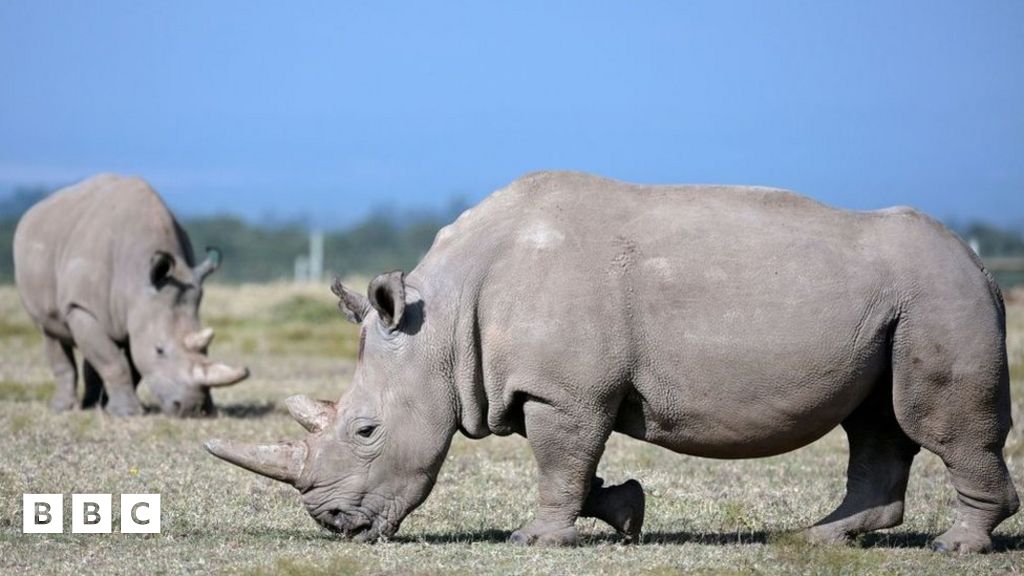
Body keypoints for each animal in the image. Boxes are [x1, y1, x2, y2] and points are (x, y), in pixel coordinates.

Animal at [13, 173, 249, 417]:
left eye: (206, 349)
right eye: (159, 350)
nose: (191, 409)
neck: (138, 279)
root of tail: (34, 210)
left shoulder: (140, 310)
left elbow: (131, 362)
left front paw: (118, 408)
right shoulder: (81, 306)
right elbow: (114, 361)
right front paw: (127, 413)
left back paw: (94, 405)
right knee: (50, 332)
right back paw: (64, 408)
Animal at [207, 171, 1017, 552]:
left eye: (366, 431)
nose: (334, 524)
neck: (441, 323)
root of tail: (981, 264)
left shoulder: (563, 391)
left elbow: (558, 460)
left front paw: (535, 540)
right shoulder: (559, 388)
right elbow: (576, 465)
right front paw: (626, 513)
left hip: (938, 295)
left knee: (932, 421)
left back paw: (955, 545)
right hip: (898, 306)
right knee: (875, 423)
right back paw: (815, 538)